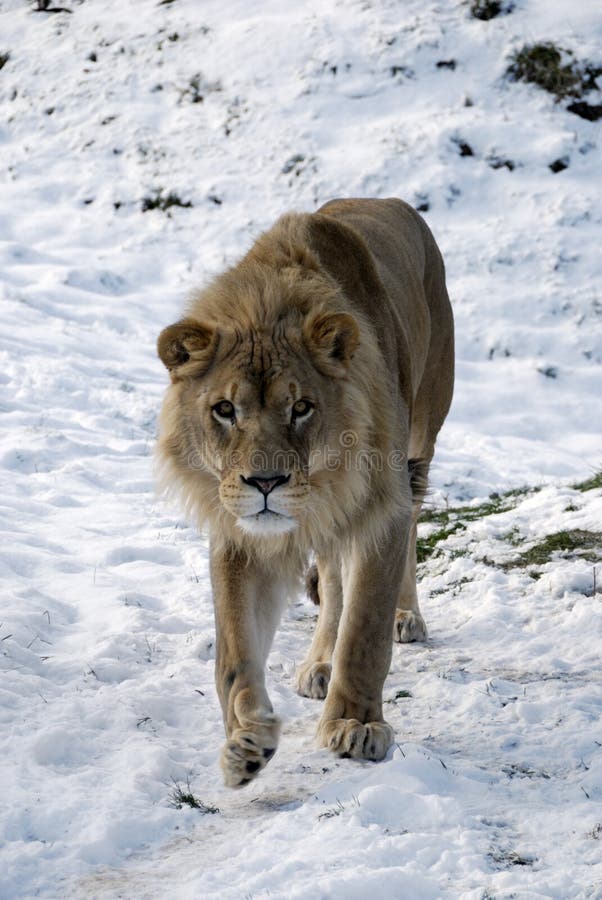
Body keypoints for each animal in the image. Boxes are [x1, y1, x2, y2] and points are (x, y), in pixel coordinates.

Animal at [156, 198, 454, 788]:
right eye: (224, 409)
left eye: (300, 407)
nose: (265, 482)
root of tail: (395, 204)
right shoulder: (241, 533)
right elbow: (234, 651)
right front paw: (247, 741)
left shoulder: (379, 507)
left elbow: (365, 630)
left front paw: (355, 725)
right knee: (334, 580)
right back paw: (318, 663)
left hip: (421, 441)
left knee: (408, 534)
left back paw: (406, 617)